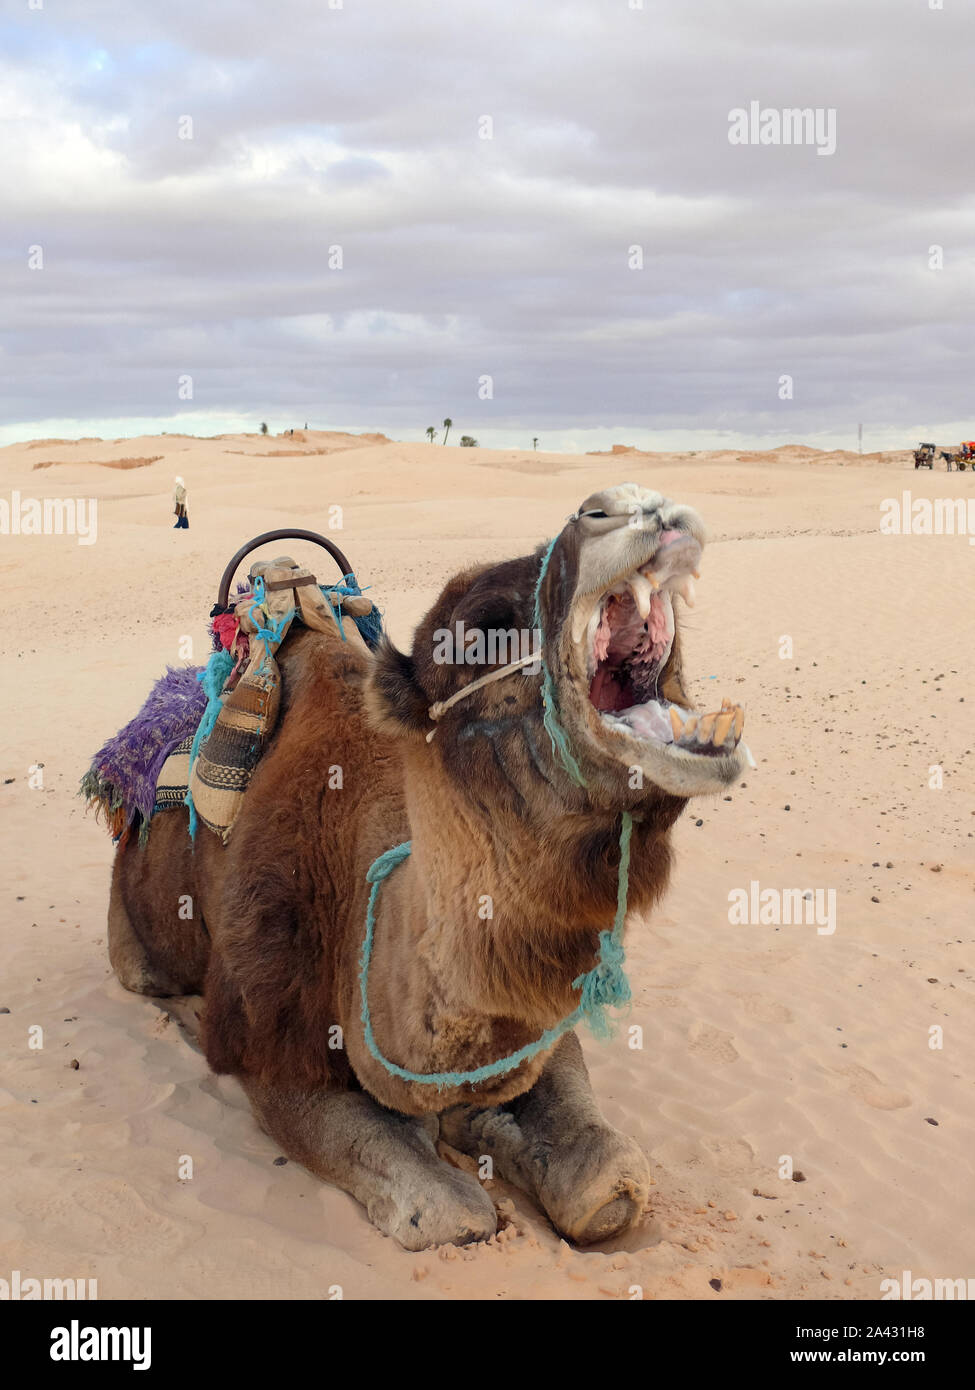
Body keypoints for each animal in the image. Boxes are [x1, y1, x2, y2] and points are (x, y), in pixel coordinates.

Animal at [105, 483, 750, 1250]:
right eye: (475, 632)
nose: (630, 505)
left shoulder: (535, 1021)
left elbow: (609, 1180)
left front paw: (490, 1127)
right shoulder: (270, 1043)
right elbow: (448, 1211)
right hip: (134, 943)